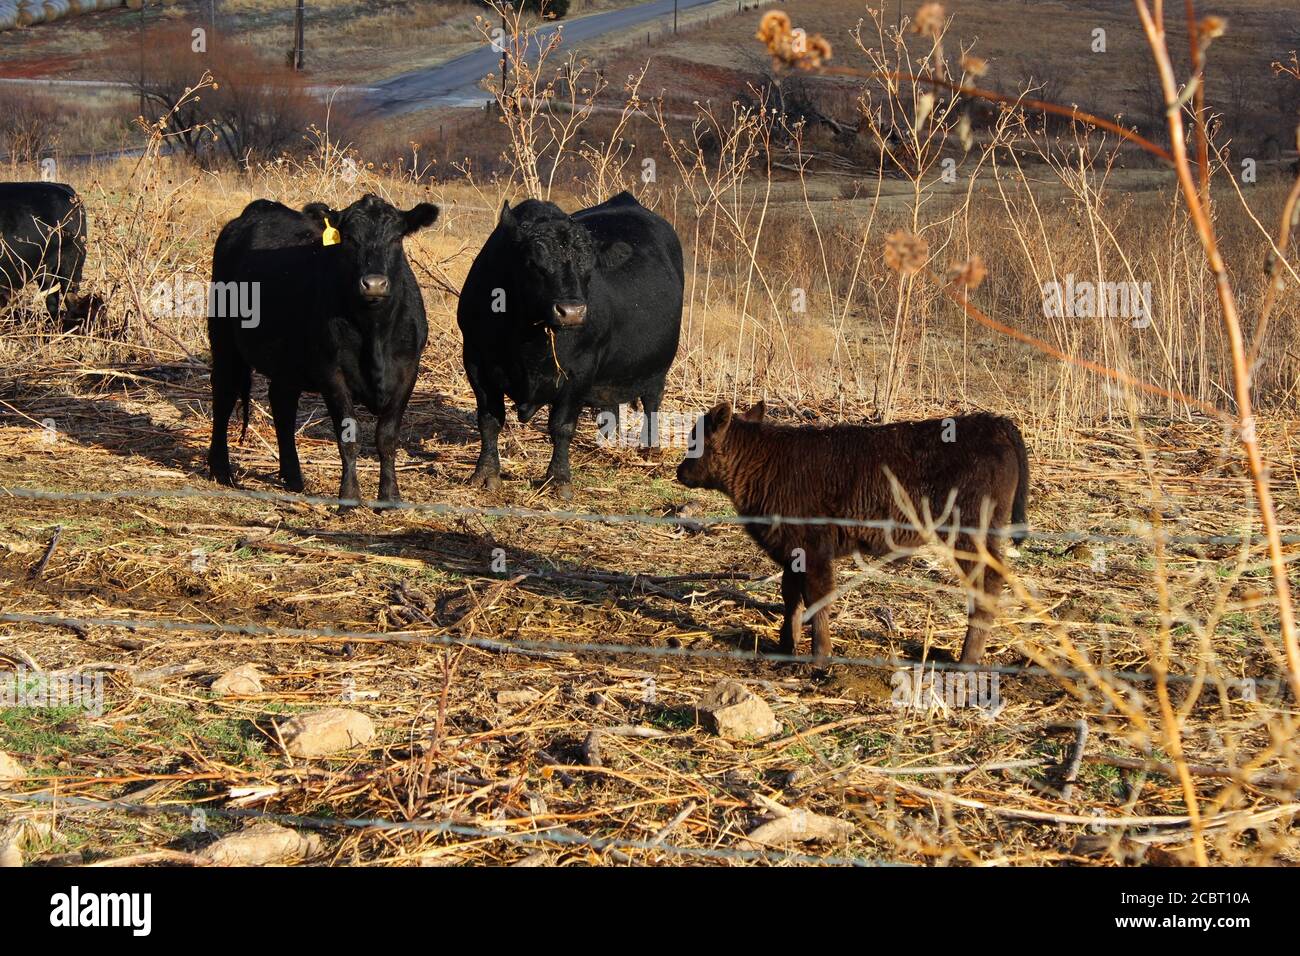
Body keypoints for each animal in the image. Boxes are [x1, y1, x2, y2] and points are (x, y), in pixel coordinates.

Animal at [207, 193, 440, 505]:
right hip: (224, 340)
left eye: (396, 238)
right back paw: (221, 470)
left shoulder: (407, 372)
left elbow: (387, 437)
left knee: (282, 404)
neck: (375, 331)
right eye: (349, 238)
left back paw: (292, 477)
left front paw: (389, 497)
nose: (374, 284)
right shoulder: (332, 373)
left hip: (288, 361)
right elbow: (349, 436)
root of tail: (261, 207)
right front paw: (349, 497)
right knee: (224, 394)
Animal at [457, 191, 684, 499]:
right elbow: (490, 420)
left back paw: (650, 449)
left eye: (588, 268)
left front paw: (559, 478)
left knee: (652, 403)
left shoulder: (580, 371)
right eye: (534, 263)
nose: (572, 312)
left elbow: (562, 426)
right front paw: (486, 473)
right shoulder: (477, 361)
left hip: (657, 369)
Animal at [676, 403, 1029, 666]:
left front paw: (820, 657)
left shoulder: (814, 550)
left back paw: (967, 659)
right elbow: (791, 596)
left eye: (696, 440)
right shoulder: (792, 551)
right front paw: (786, 646)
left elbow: (817, 597)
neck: (765, 463)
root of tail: (995, 423)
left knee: (987, 584)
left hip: (969, 535)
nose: (680, 471)